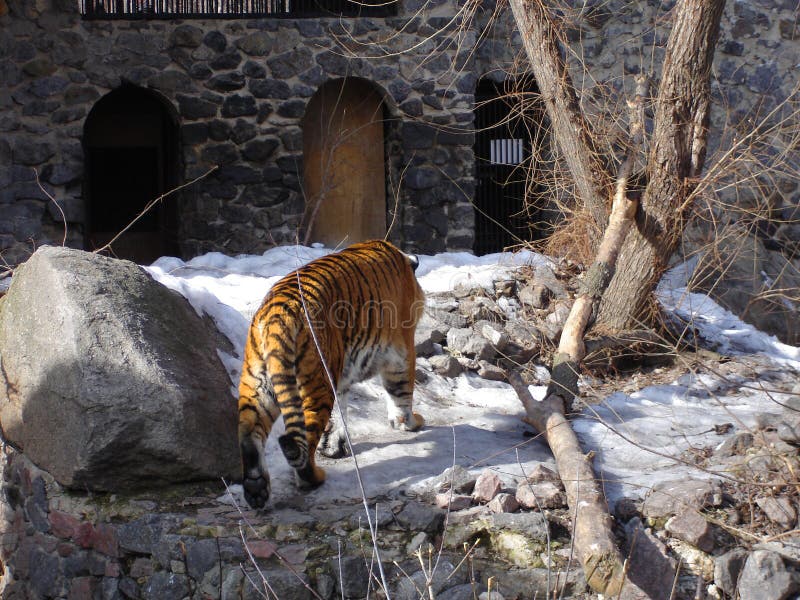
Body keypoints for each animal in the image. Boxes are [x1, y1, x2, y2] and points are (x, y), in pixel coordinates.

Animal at [237, 239, 426, 509]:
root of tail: (277, 314)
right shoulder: (401, 352)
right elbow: (401, 395)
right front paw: (409, 423)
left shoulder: (342, 374)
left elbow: (341, 412)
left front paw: (334, 446)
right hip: (317, 383)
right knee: (304, 435)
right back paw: (313, 477)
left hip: (259, 383)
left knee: (249, 430)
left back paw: (256, 489)